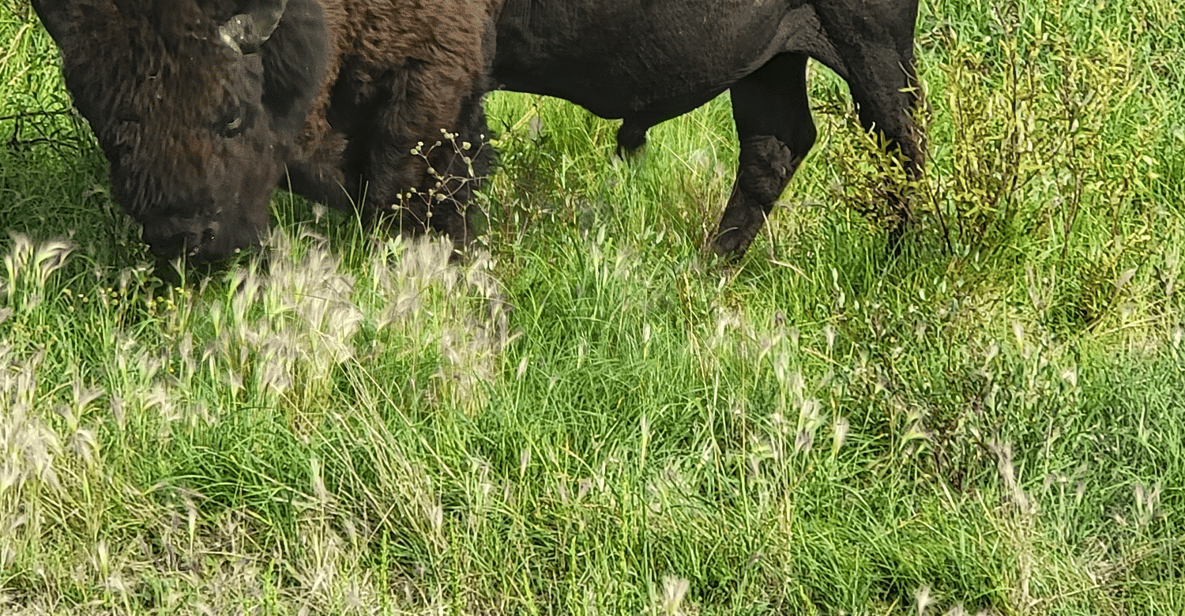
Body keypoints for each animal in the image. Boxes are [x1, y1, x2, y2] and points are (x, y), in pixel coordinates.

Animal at [31, 0, 923, 263]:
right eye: (106, 127)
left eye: (230, 112)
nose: (185, 239)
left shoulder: (431, 82)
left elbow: (417, 194)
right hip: (768, 60)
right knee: (775, 147)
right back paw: (711, 271)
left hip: (870, 40)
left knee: (900, 145)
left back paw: (900, 261)